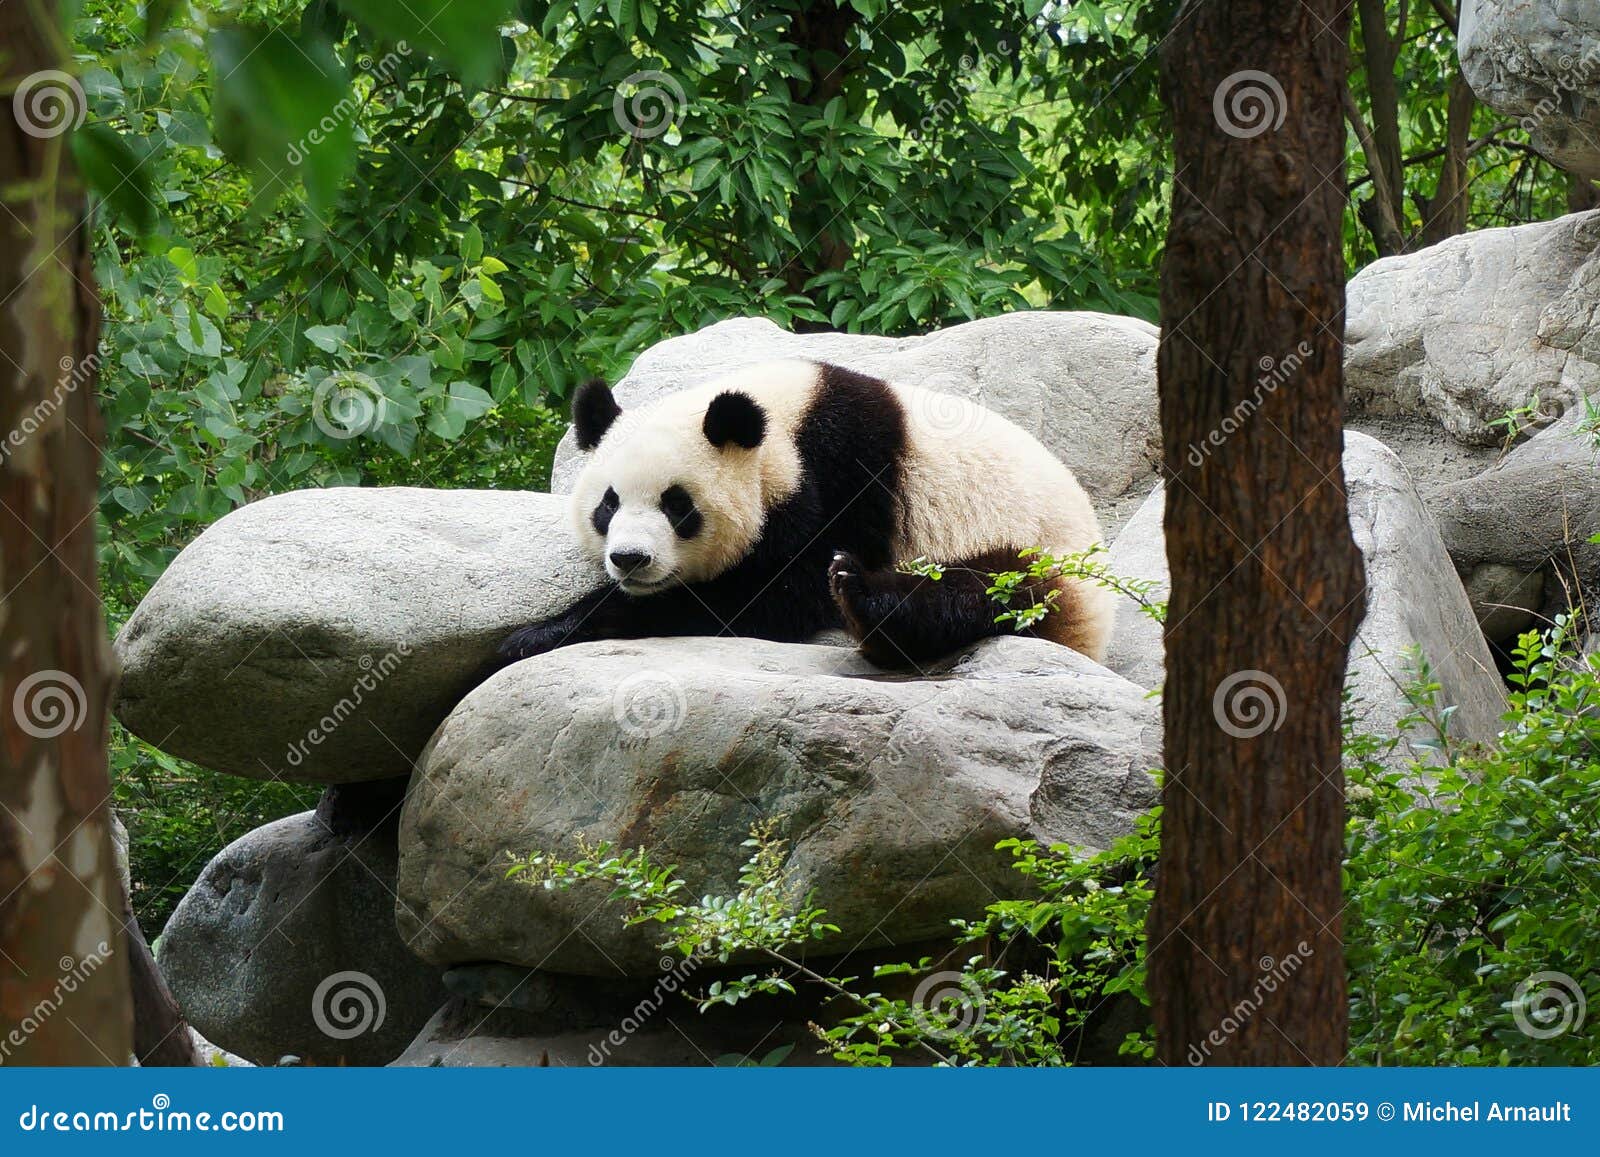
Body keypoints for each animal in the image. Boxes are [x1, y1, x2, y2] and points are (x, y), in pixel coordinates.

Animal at [499, 359, 1114, 668]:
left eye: (677, 505)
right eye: (608, 503)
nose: (630, 559)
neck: (784, 424)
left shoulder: (847, 474)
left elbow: (772, 595)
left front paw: (548, 631)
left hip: (1045, 558)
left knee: (983, 592)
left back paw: (867, 602)